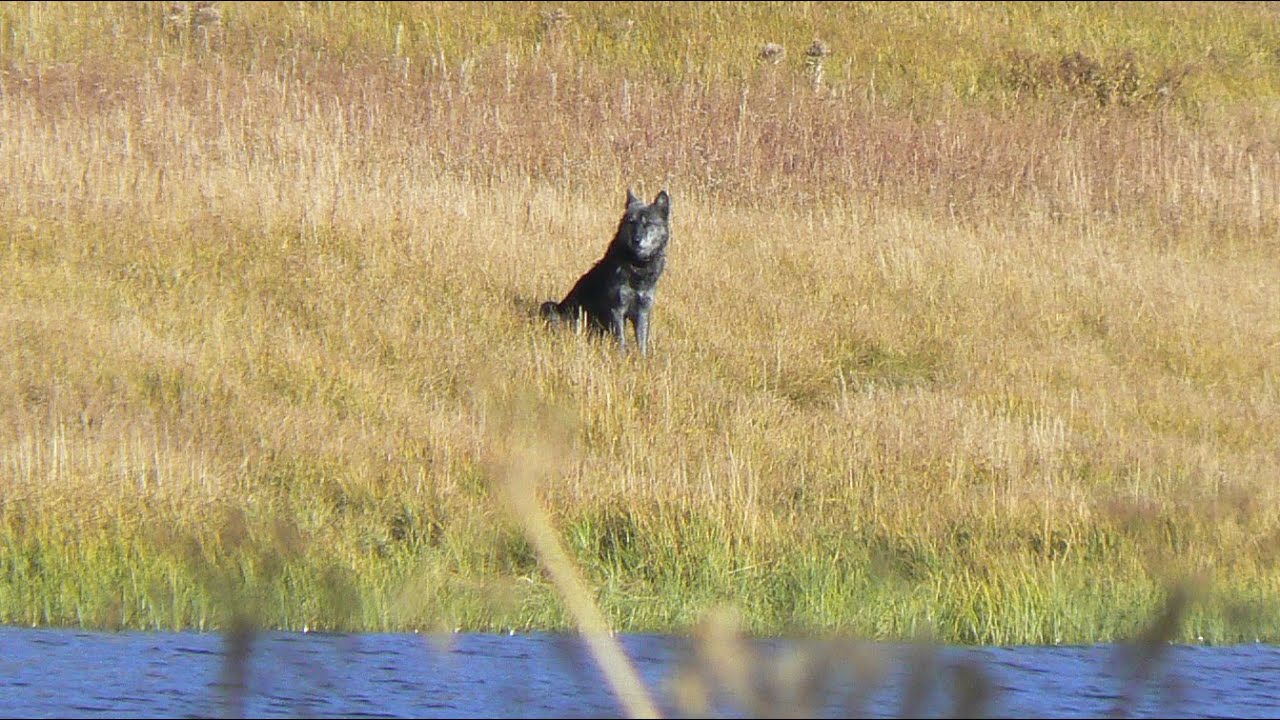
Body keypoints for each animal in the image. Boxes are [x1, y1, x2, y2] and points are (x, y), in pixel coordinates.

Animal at [540, 188, 671, 355]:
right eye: (631, 222)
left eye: (647, 223)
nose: (636, 240)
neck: (637, 265)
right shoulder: (617, 309)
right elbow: (621, 341)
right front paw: (622, 359)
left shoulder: (643, 311)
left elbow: (642, 344)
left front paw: (642, 360)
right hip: (550, 307)